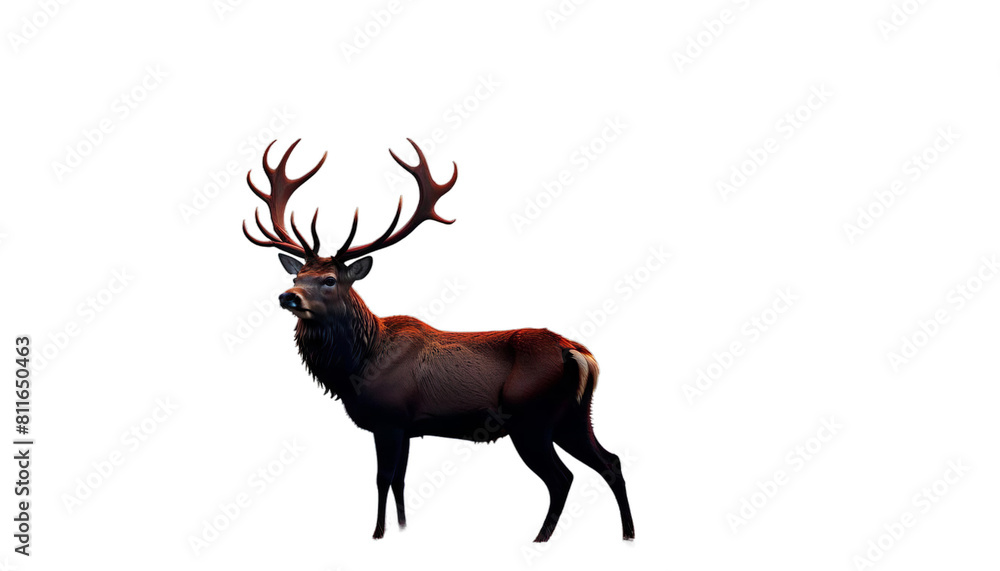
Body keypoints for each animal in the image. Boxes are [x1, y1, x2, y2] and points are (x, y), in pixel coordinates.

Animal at [242, 138, 634, 542]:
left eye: (330, 280)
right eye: (297, 276)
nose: (288, 297)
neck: (356, 367)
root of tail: (577, 353)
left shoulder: (389, 418)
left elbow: (382, 480)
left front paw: (378, 534)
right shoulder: (408, 428)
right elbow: (399, 482)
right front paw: (402, 529)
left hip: (532, 419)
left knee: (562, 478)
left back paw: (540, 538)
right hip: (573, 416)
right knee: (612, 462)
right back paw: (627, 534)